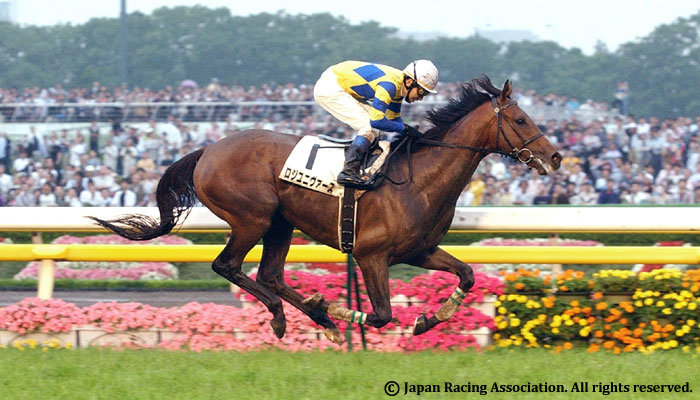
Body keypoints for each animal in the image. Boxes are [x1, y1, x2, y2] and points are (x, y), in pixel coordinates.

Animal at [90, 75, 562, 345]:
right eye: (521, 120)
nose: (555, 157)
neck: (420, 180)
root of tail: (208, 149)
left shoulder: (419, 251)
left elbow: (466, 275)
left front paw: (431, 320)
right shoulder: (372, 256)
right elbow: (382, 314)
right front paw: (334, 308)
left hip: (280, 224)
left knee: (270, 275)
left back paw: (316, 320)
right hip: (253, 218)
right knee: (228, 266)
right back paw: (296, 317)